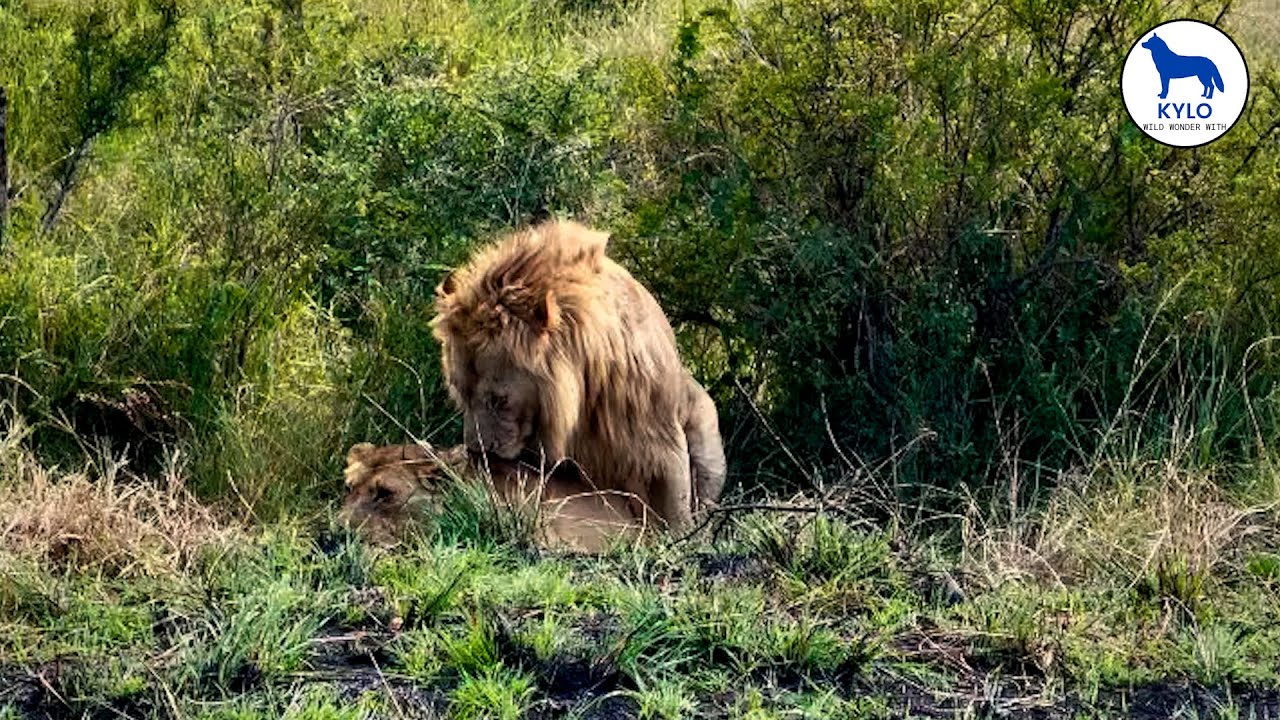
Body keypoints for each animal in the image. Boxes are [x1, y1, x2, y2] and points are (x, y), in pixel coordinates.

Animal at [430, 220, 726, 533]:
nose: (476, 452)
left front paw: (682, 537)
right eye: (461, 393)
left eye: (499, 400)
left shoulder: (660, 436)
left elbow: (673, 503)